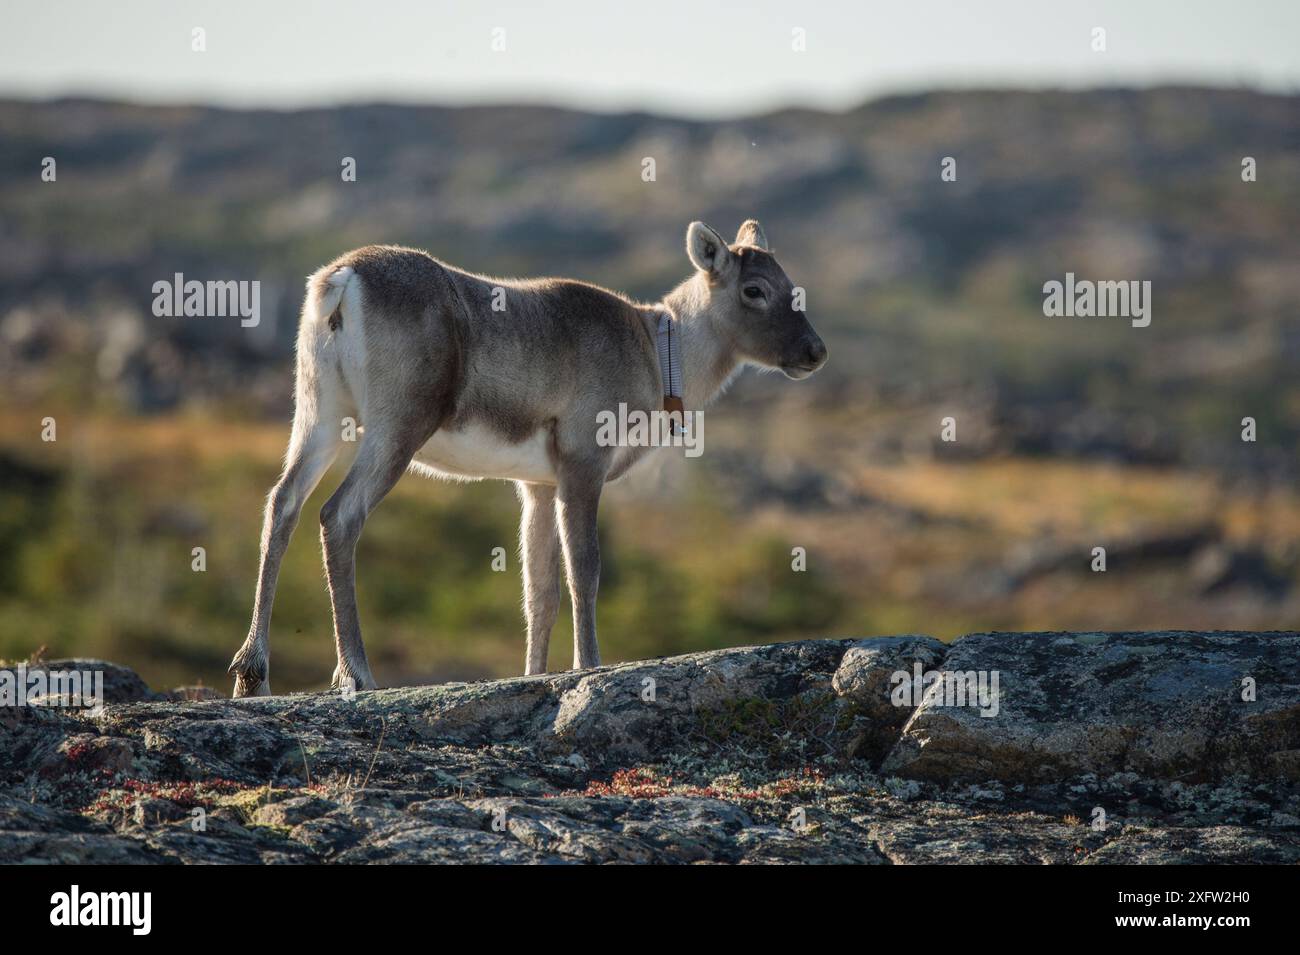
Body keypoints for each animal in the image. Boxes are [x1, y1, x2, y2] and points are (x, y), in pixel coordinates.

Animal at [228, 220, 827, 697]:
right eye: (755, 289)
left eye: (792, 285)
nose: (815, 351)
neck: (661, 358)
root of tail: (341, 282)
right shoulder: (583, 460)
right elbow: (584, 570)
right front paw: (589, 664)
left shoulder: (536, 484)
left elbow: (538, 590)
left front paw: (534, 674)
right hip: (399, 422)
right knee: (338, 515)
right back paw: (355, 673)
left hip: (318, 410)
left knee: (281, 502)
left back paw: (252, 672)